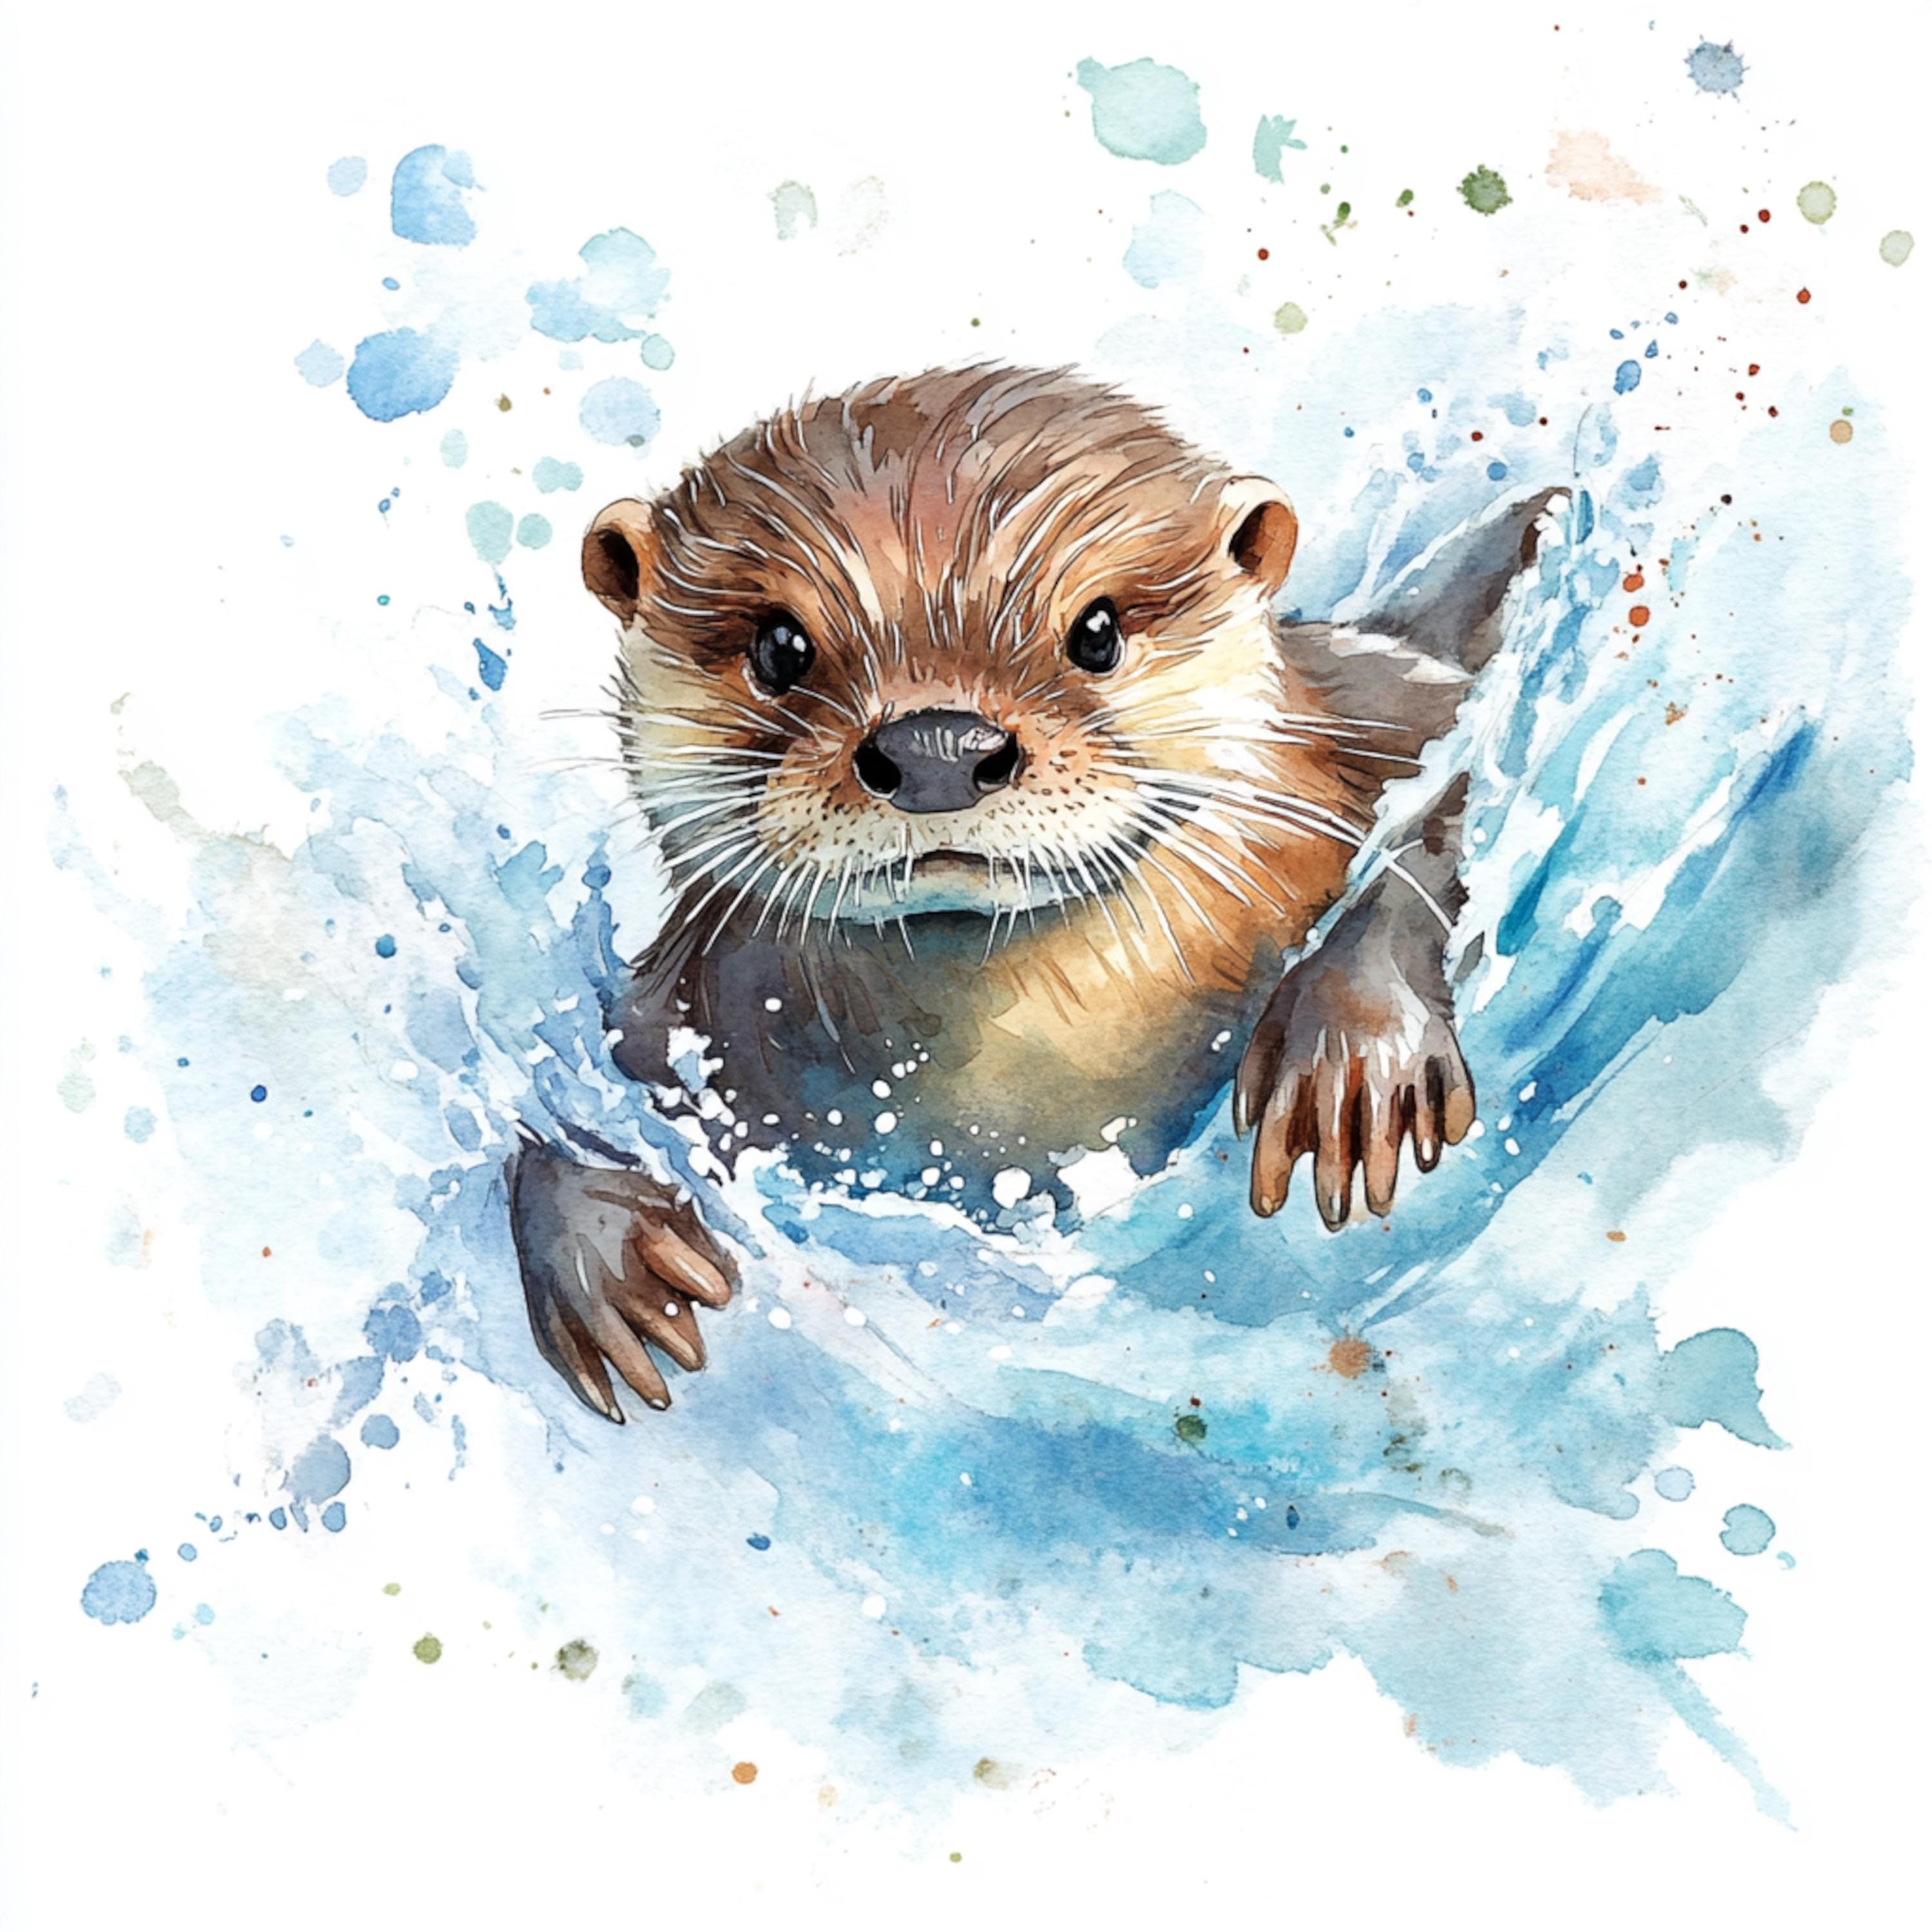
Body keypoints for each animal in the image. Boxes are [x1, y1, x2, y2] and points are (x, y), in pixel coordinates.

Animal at [508, 365, 1559, 1419]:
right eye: (780, 648)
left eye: (1095, 633)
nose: (937, 745)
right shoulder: (668, 1026)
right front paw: (601, 1237)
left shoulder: (1395, 726)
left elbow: (1446, 820)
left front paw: (1353, 1050)